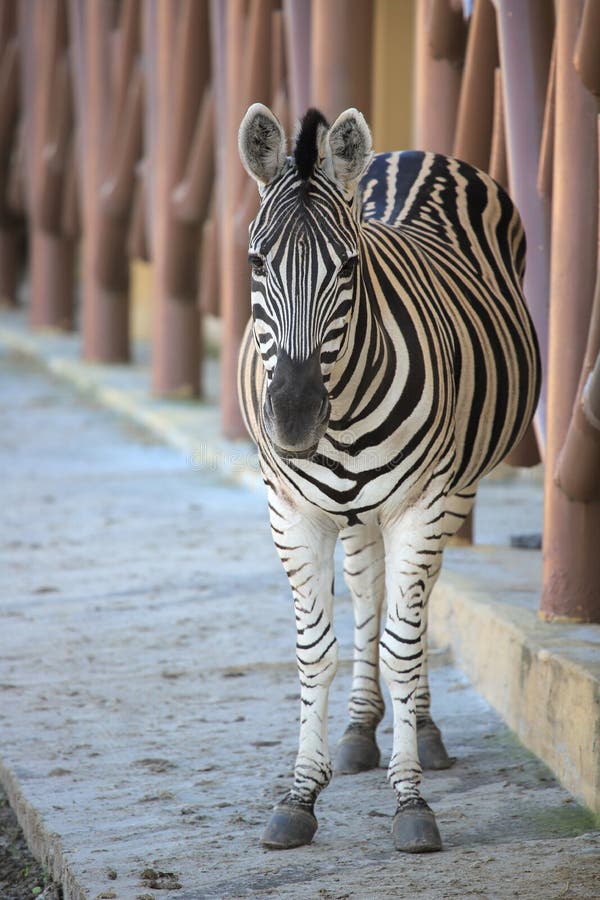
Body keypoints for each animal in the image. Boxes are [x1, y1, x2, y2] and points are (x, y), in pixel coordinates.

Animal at [237, 103, 541, 853]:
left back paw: (422, 730)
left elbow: (404, 643)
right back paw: (357, 727)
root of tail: (413, 154)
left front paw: (411, 800)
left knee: (417, 600)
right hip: (353, 510)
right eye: (256, 262)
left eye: (348, 267)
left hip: (451, 488)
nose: (293, 418)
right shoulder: (293, 511)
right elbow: (315, 651)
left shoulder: (421, 504)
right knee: (368, 592)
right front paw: (300, 794)